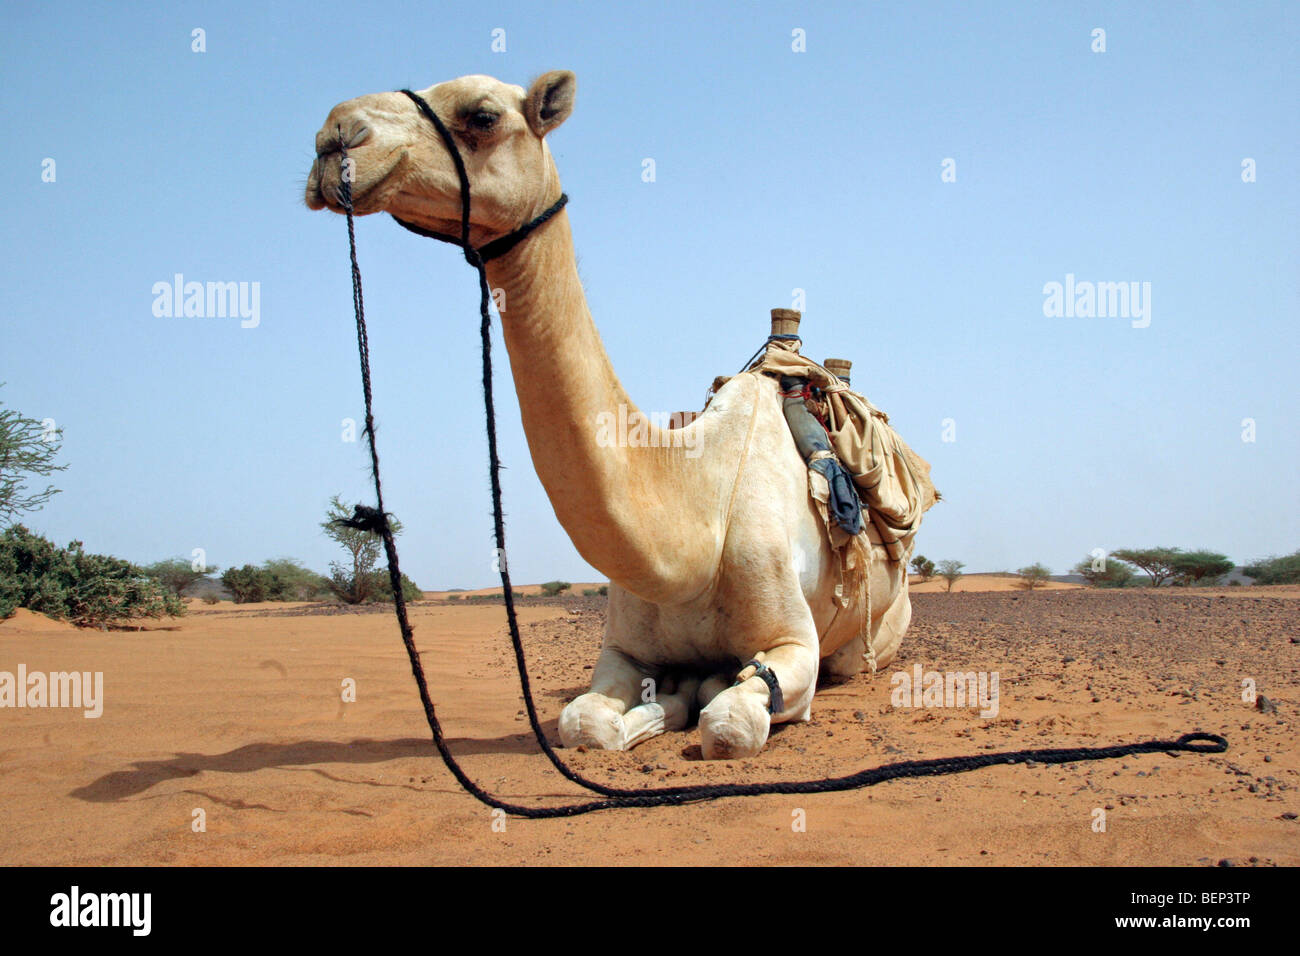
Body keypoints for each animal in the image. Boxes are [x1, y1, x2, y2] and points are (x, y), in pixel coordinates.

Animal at [306, 71, 936, 759]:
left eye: (483, 116)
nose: (334, 137)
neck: (695, 531)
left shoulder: (796, 645)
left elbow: (730, 722)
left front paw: (706, 697)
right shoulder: (623, 648)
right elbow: (585, 723)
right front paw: (664, 702)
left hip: (880, 633)